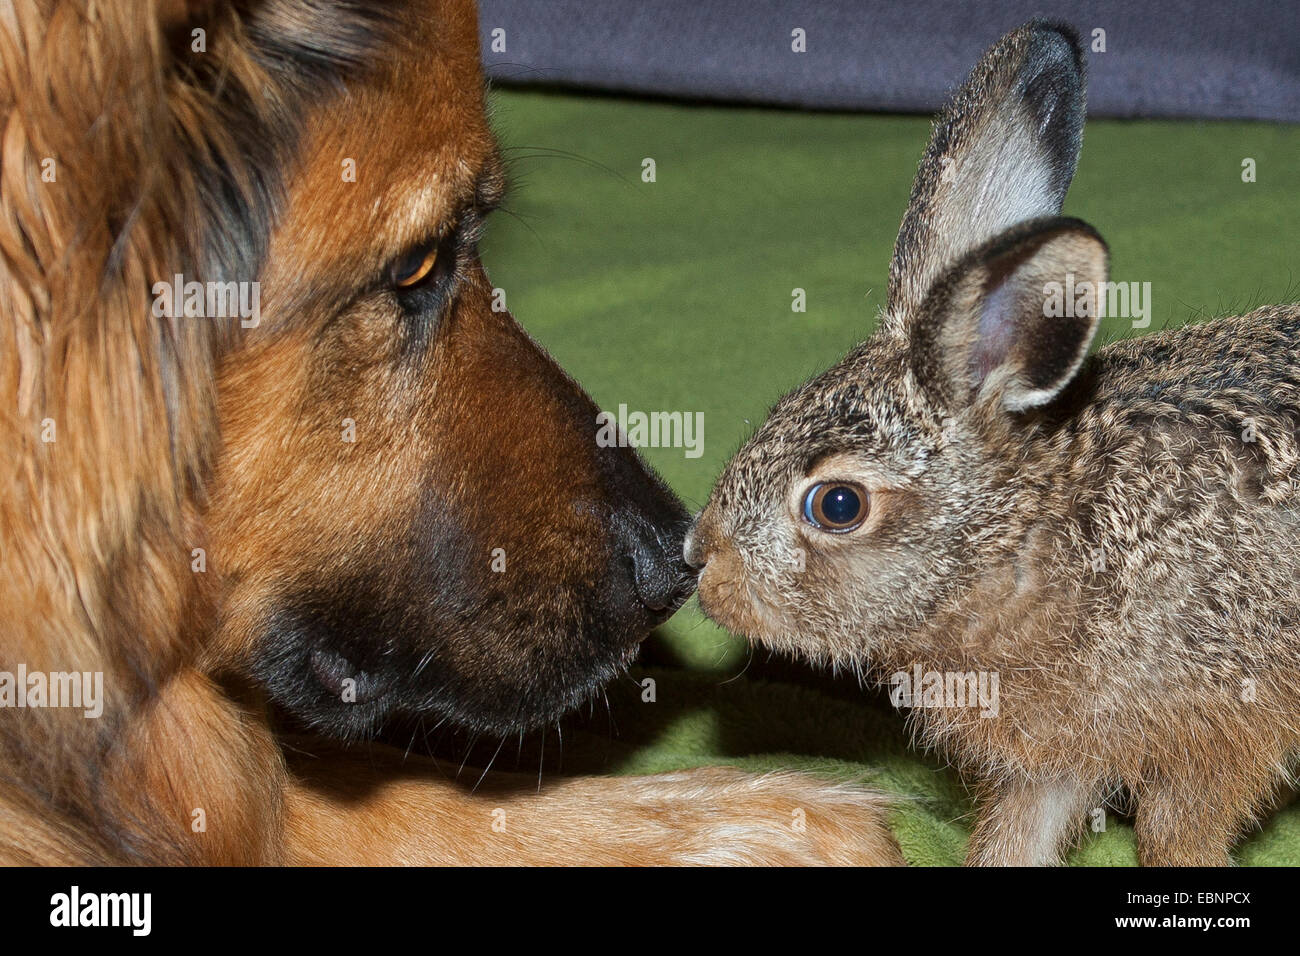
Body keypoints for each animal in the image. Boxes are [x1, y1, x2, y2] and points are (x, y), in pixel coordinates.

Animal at [686, 19, 1300, 866]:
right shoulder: (1052, 759)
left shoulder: (1220, 725)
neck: (1019, 538)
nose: (700, 561)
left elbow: (1179, 836)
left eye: (836, 505)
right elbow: (1020, 830)